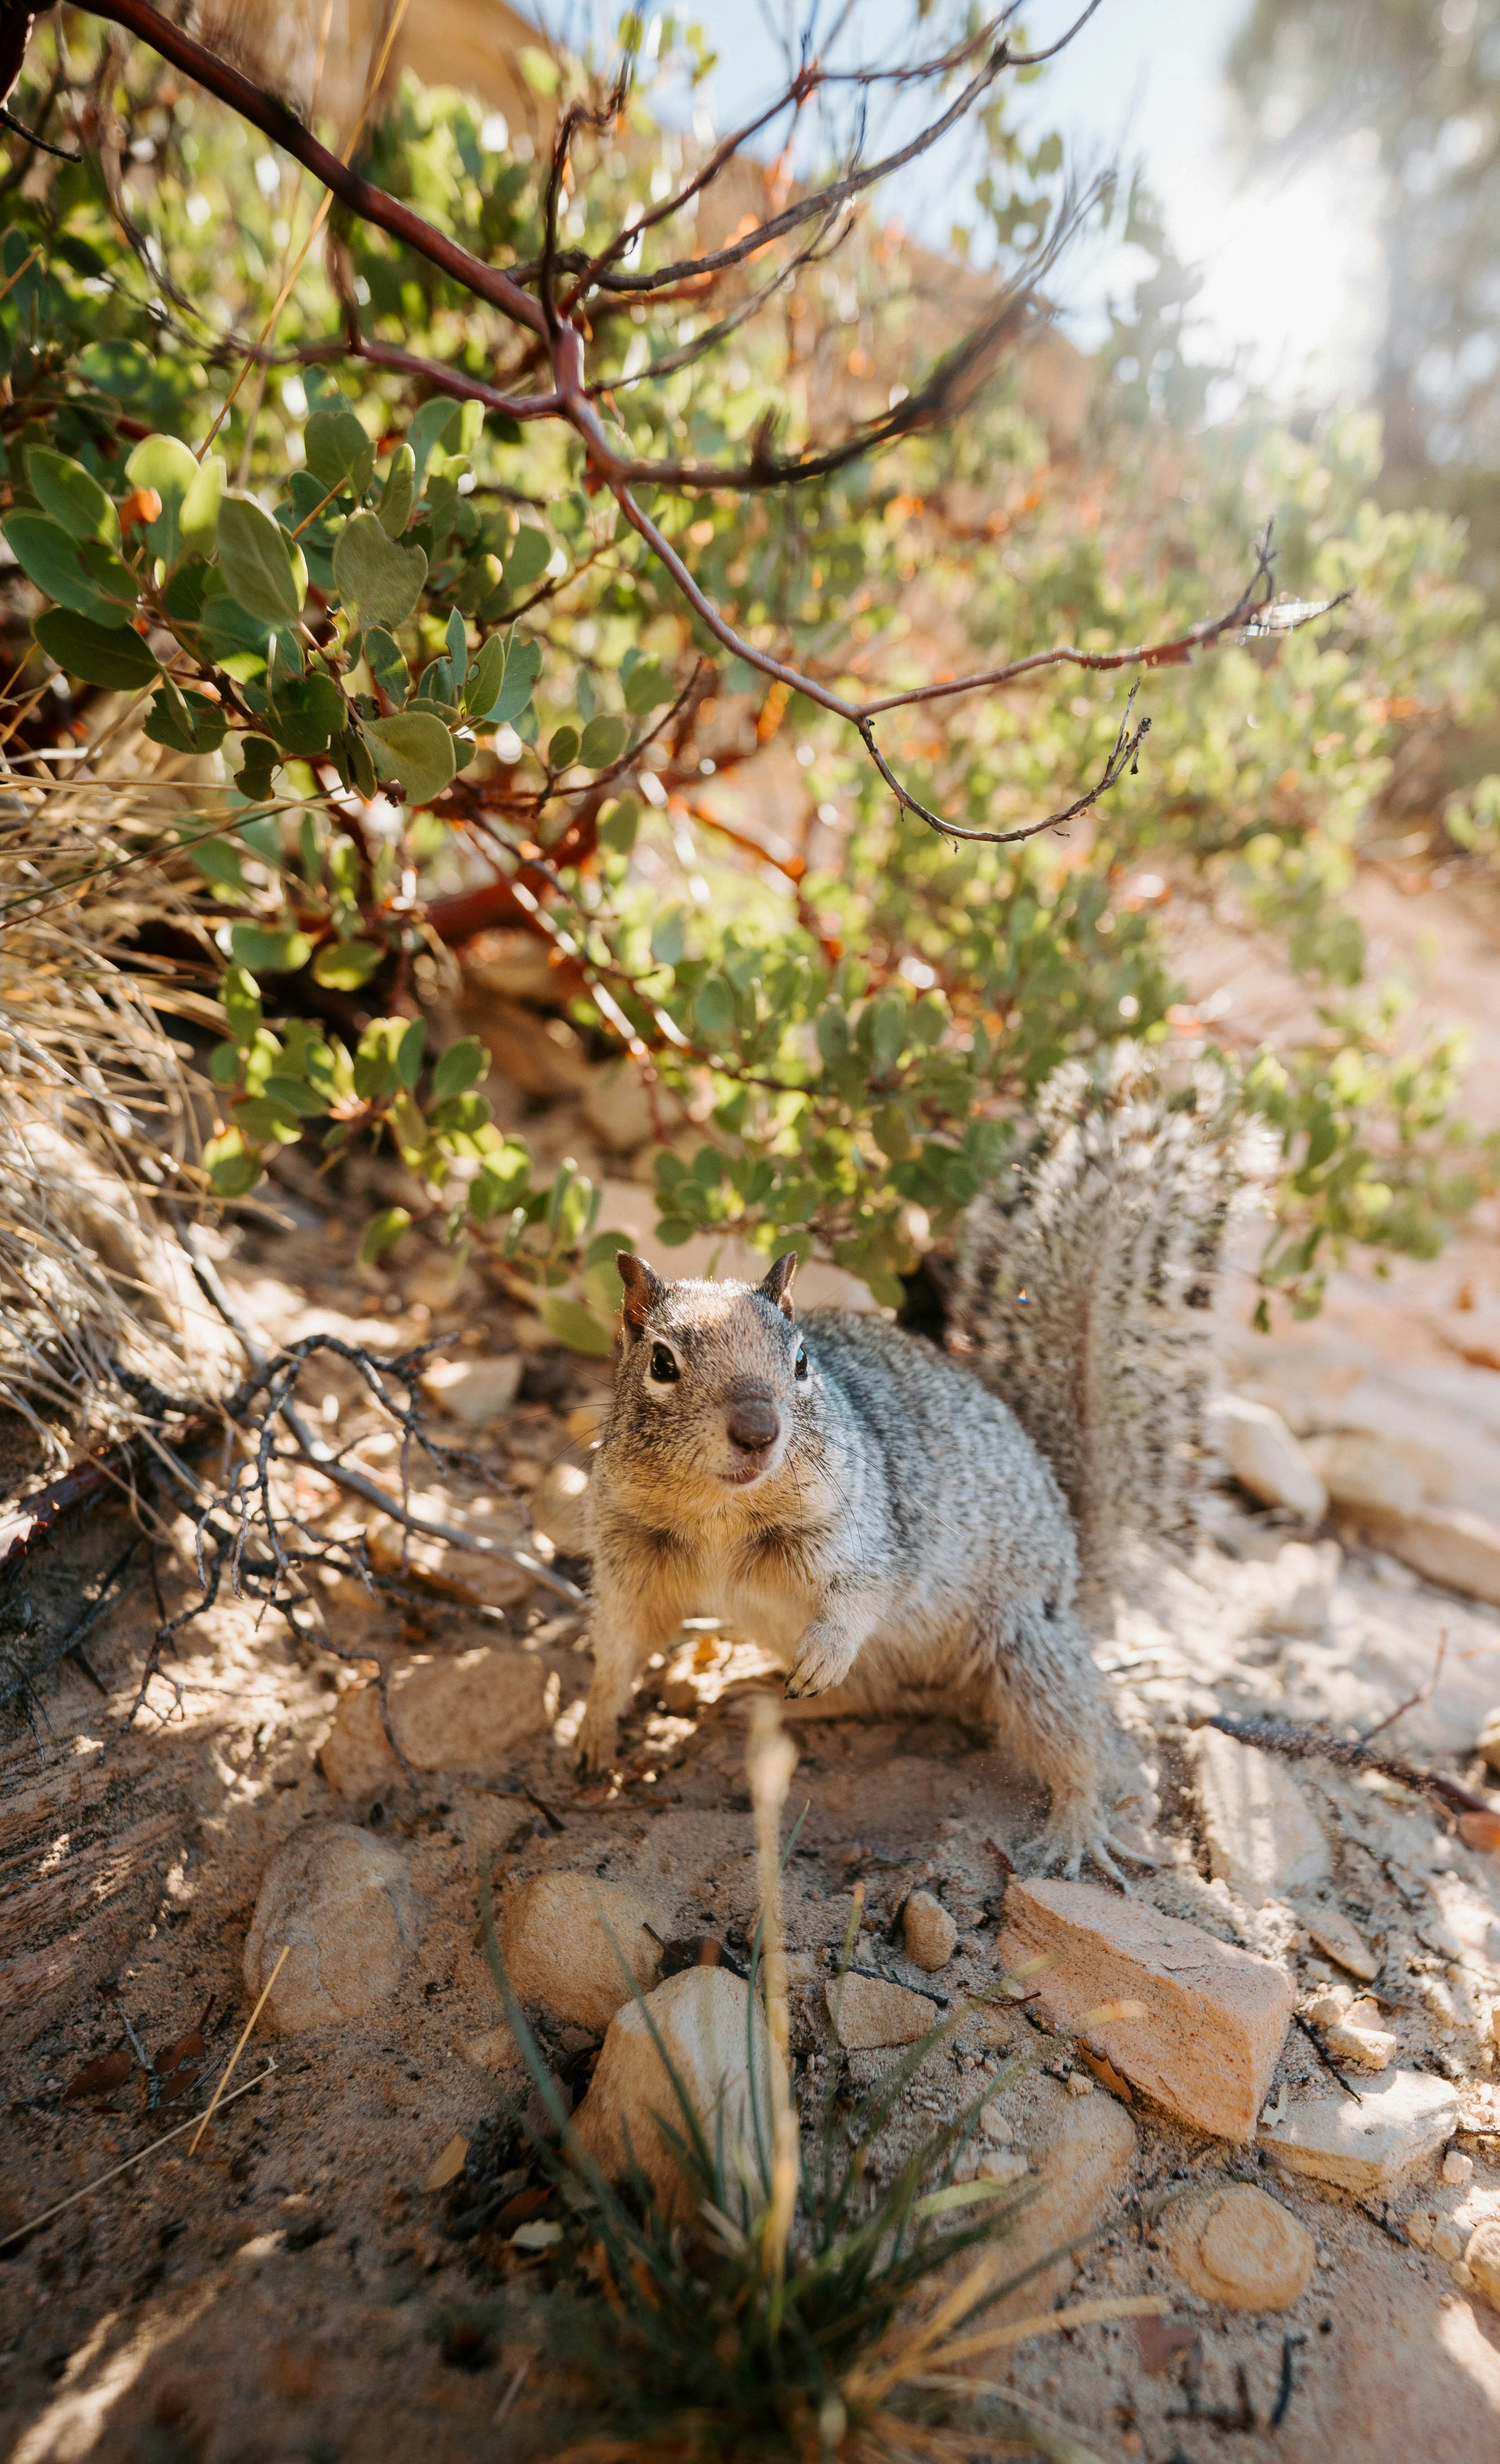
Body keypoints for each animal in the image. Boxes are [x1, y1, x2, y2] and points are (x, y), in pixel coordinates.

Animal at [576, 1046, 1256, 1882]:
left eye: (801, 1361)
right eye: (662, 1363)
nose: (759, 1430)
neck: (721, 1514)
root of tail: (1073, 1557)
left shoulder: (872, 1535)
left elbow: (866, 1591)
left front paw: (827, 1646)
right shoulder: (631, 1551)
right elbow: (620, 1642)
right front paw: (594, 1728)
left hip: (1027, 1649)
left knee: (1074, 1736)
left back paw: (1075, 1827)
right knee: (886, 1696)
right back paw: (764, 1692)